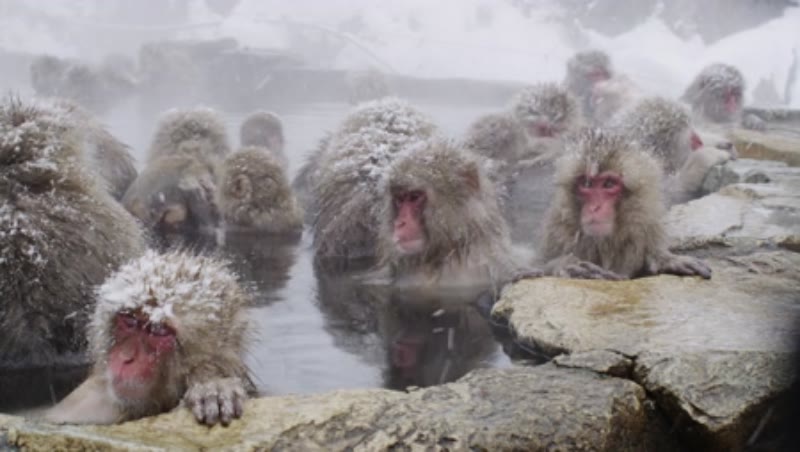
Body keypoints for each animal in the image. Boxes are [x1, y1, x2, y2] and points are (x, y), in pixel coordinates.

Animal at [538, 128, 712, 280]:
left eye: (608, 184)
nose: (595, 208)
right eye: (586, 184)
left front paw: (664, 259)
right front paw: (565, 265)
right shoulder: (558, 229)